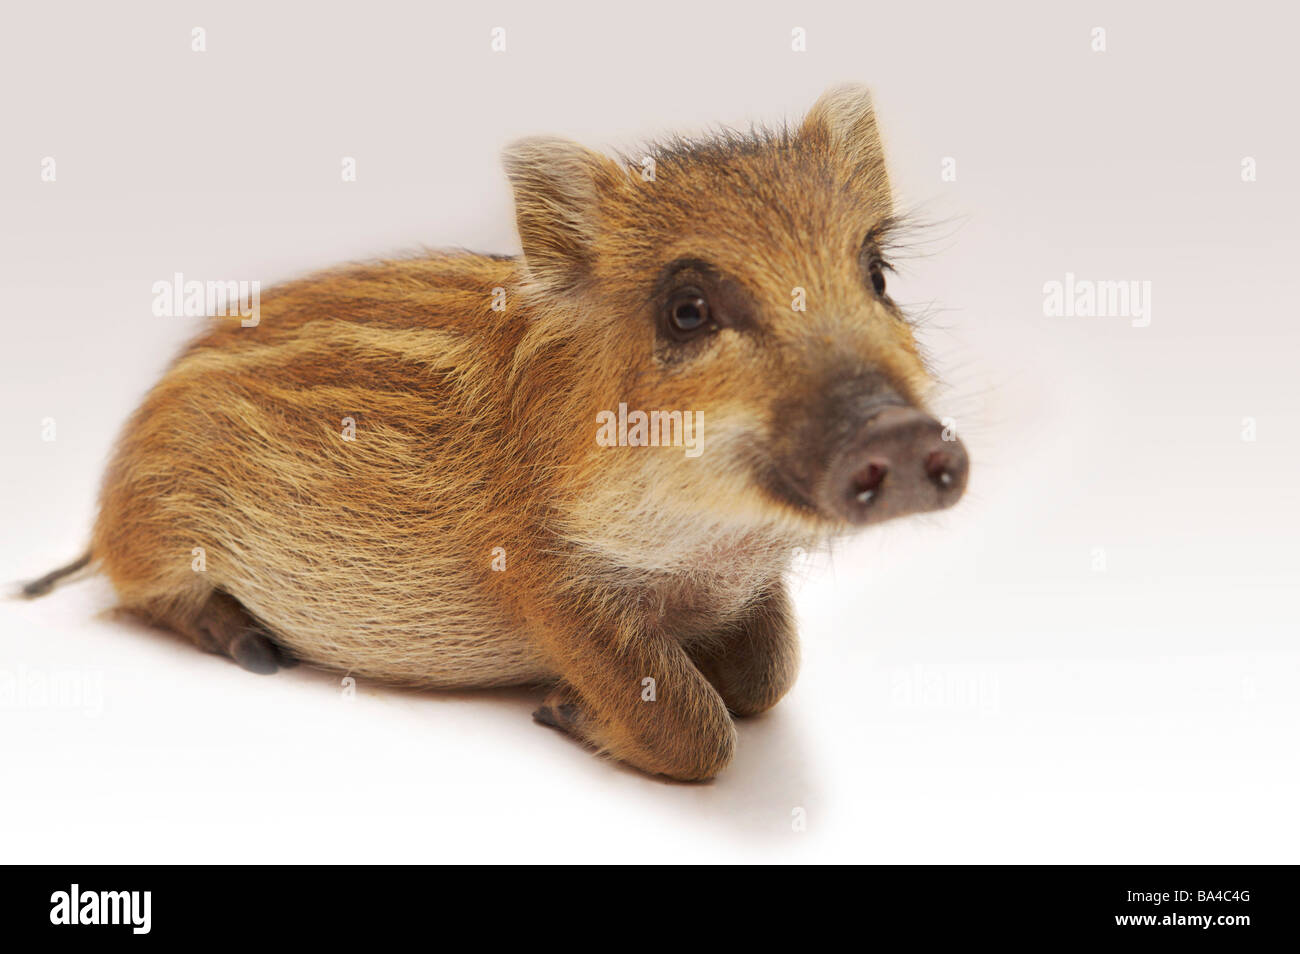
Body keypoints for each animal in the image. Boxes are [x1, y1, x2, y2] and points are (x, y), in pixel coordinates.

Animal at [24, 85, 968, 780]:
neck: (713, 547)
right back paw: (255, 649)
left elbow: (773, 675)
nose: (900, 432)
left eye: (877, 273)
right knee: (141, 595)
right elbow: (697, 727)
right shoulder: (543, 574)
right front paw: (557, 710)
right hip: (160, 533)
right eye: (688, 308)